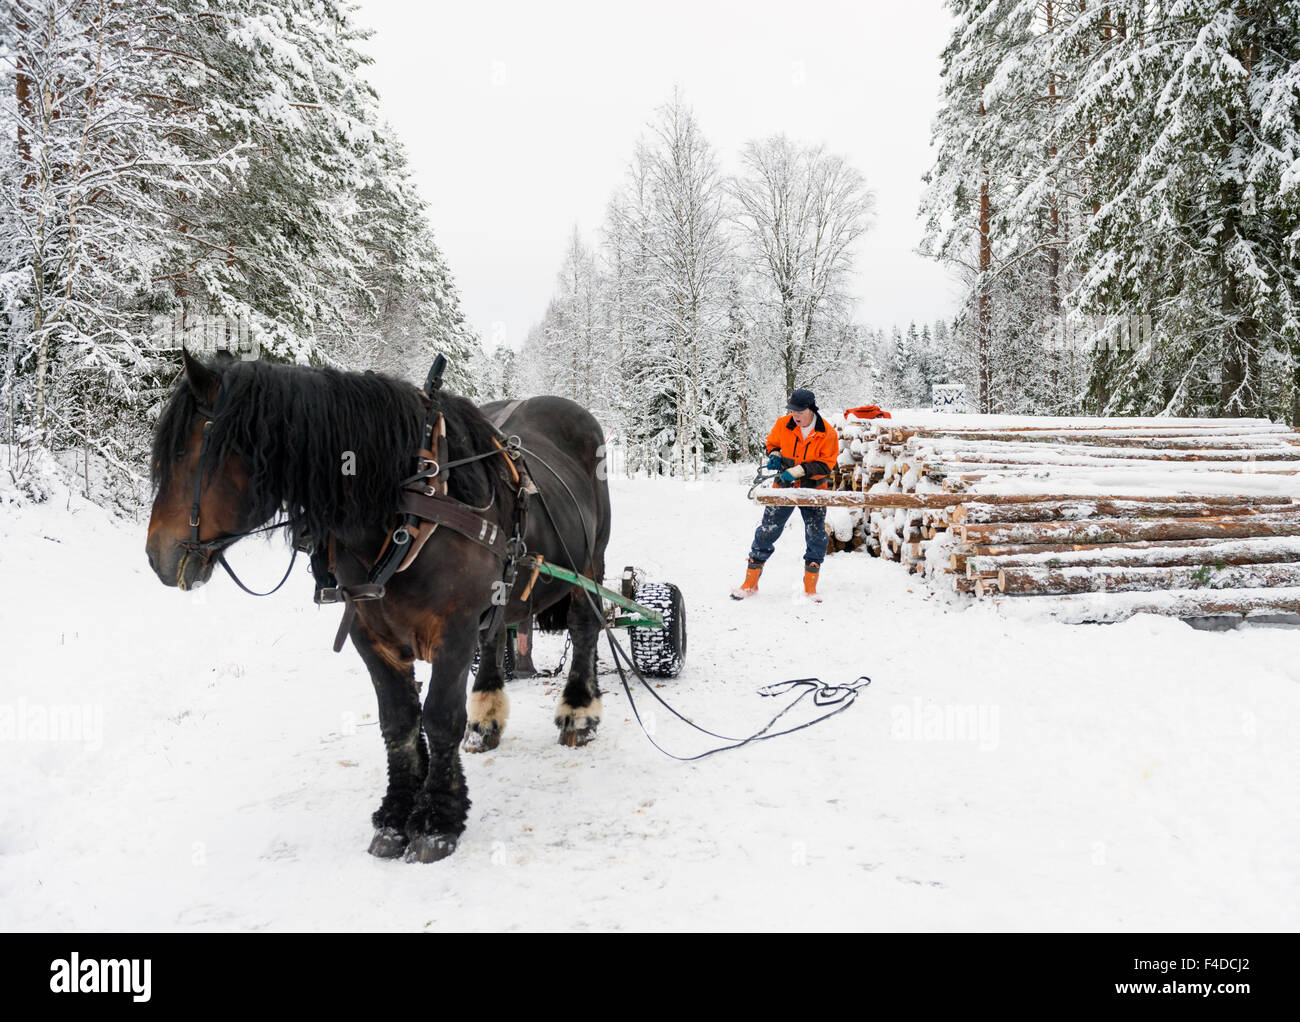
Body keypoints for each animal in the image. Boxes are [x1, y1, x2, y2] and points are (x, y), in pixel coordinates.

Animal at [145, 350, 612, 863]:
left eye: (186, 455)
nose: (156, 556)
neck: (408, 509)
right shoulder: (369, 632)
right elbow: (399, 721)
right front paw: (394, 816)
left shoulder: (454, 629)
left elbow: (440, 719)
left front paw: (436, 821)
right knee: (495, 638)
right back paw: (487, 718)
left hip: (591, 564)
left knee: (585, 626)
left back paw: (579, 711)